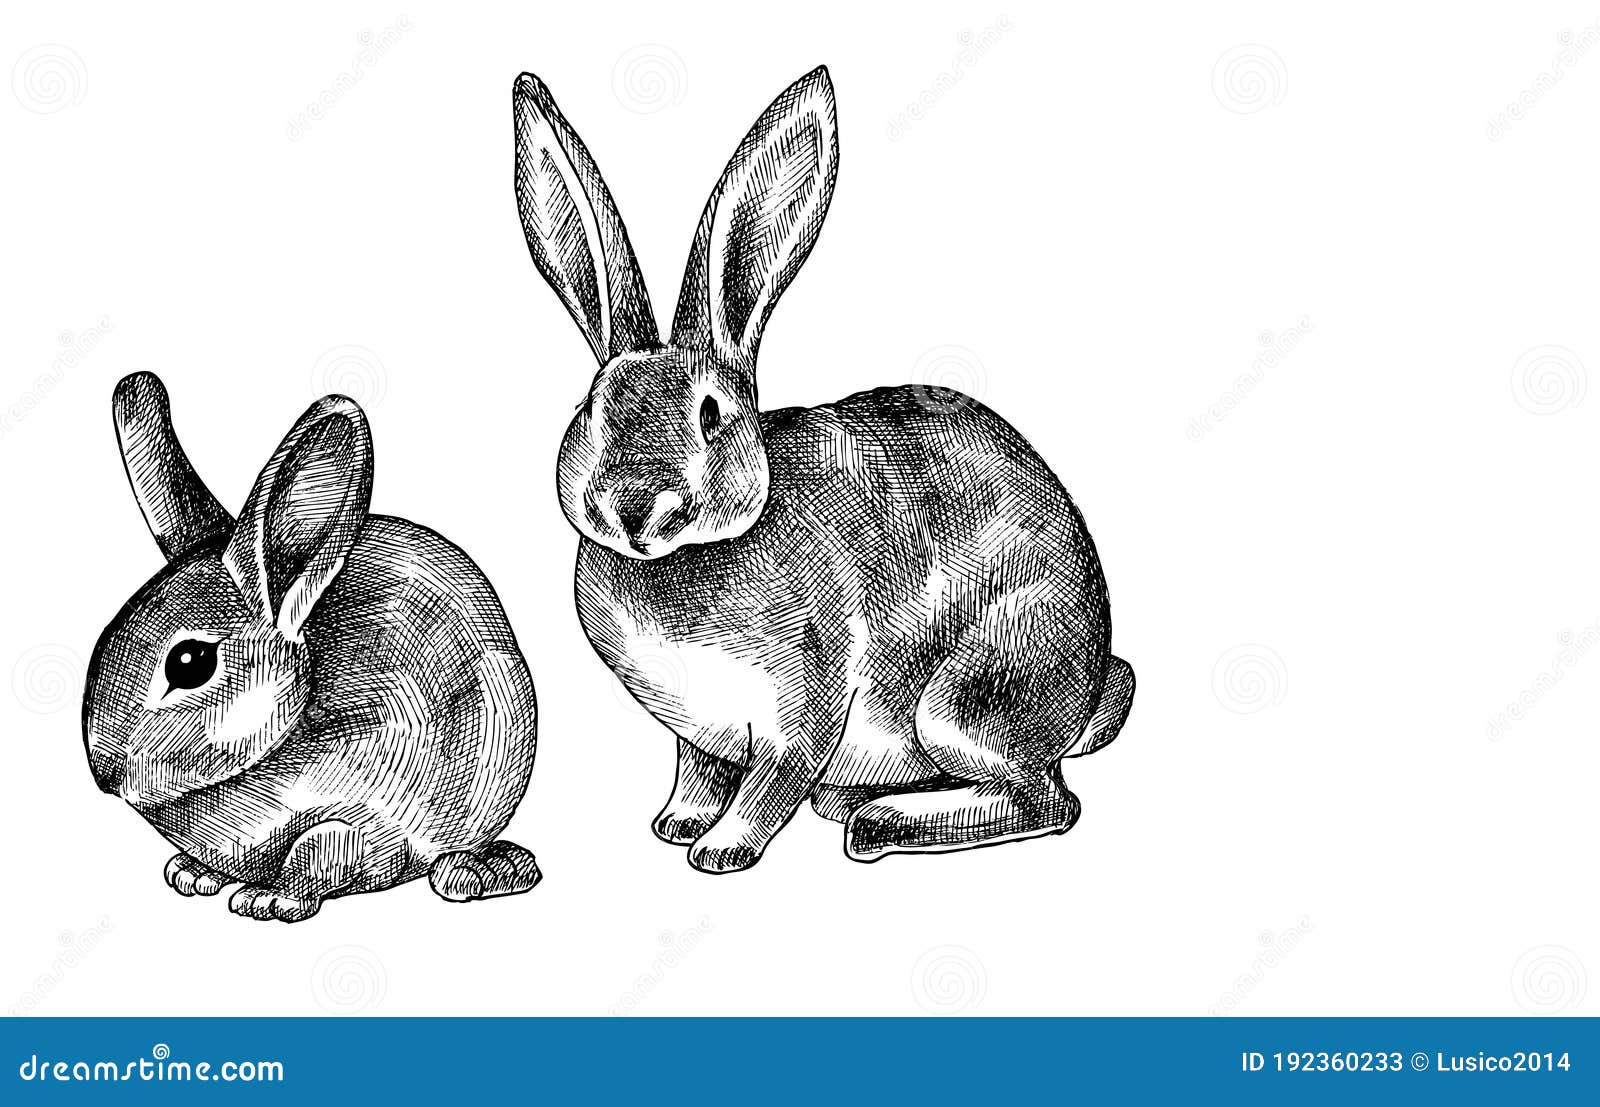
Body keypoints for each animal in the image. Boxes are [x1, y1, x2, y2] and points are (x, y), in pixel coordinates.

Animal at [82, 372, 540, 921]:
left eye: (190, 663)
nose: (106, 773)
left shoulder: (370, 818)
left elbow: (317, 850)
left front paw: (269, 900)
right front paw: (193, 875)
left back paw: (483, 871)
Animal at [513, 65, 1134, 874]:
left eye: (711, 414)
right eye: (591, 408)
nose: (633, 507)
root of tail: (1091, 688)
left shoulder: (806, 701)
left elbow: (772, 782)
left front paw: (722, 850)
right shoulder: (695, 730)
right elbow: (698, 768)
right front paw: (677, 823)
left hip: (965, 701)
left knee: (1048, 801)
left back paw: (882, 824)